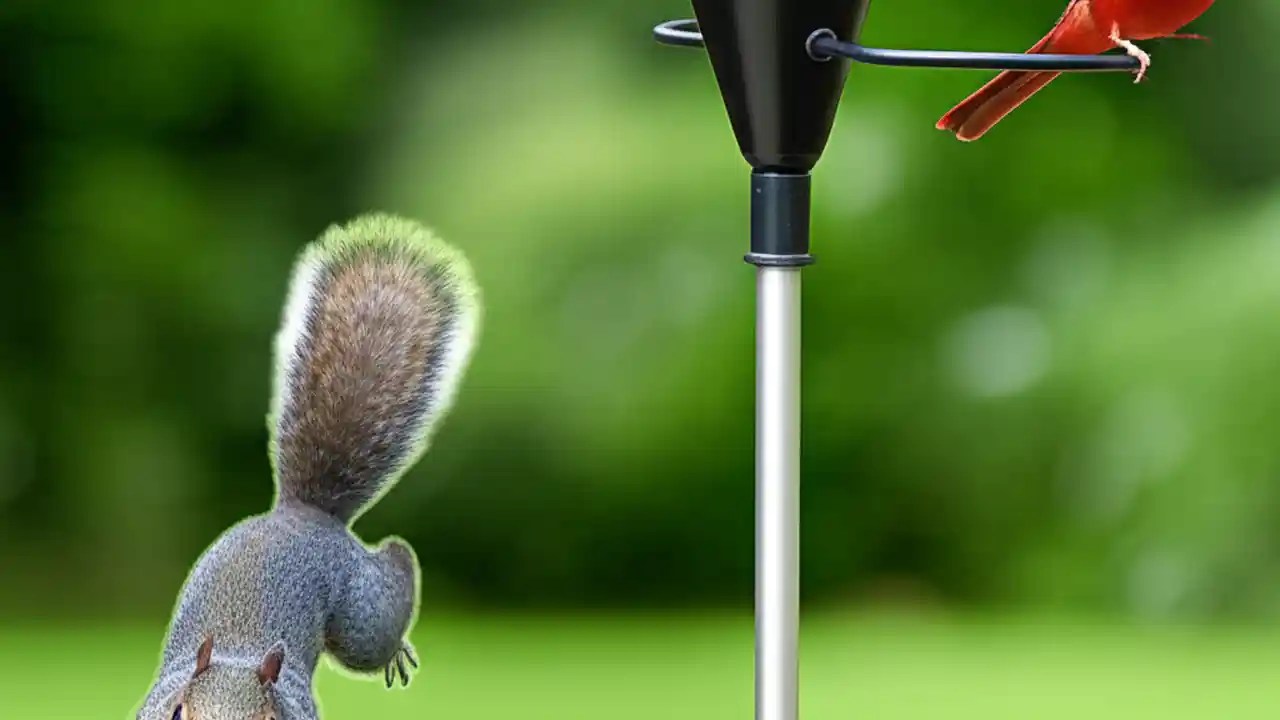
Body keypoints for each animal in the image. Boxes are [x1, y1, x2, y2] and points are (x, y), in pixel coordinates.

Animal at [136, 214, 482, 720]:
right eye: (178, 711)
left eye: (270, 717)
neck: (236, 658)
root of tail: (303, 515)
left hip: (359, 617)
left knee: (390, 585)